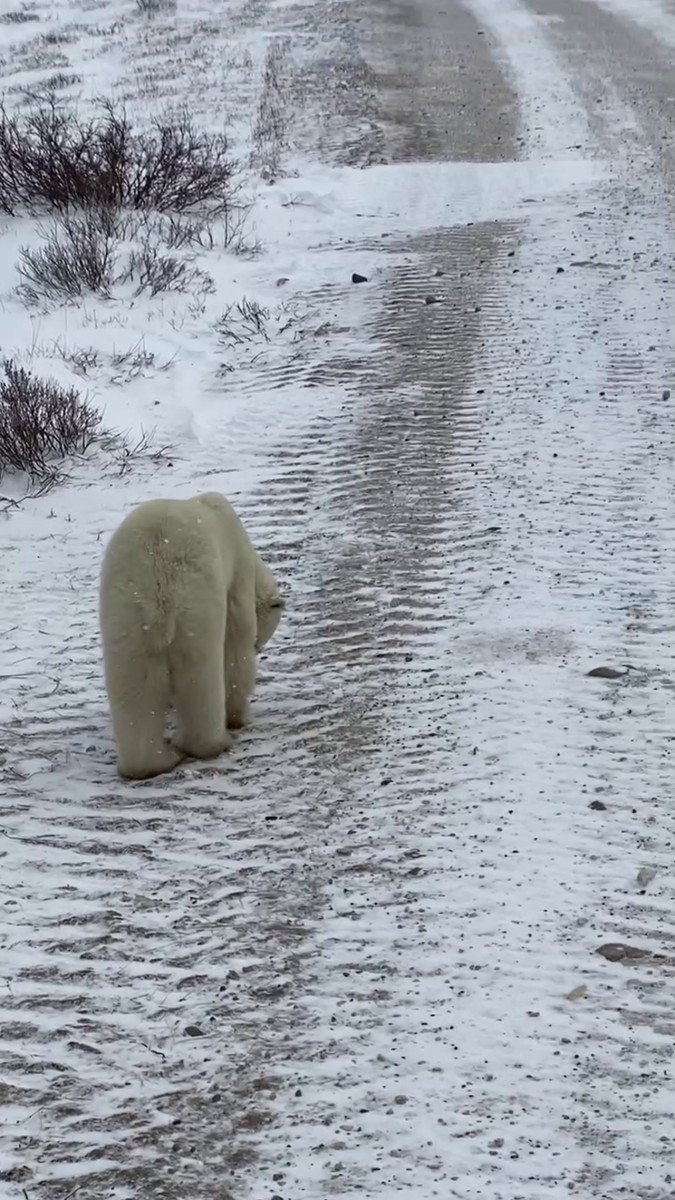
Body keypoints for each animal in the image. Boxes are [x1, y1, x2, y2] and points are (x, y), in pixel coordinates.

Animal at [99, 491, 284, 781]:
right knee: (201, 676)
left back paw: (151, 763)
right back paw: (209, 743)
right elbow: (237, 641)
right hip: (195, 608)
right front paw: (237, 717)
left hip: (124, 616)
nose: (259, 648)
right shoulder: (236, 573)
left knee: (134, 686)